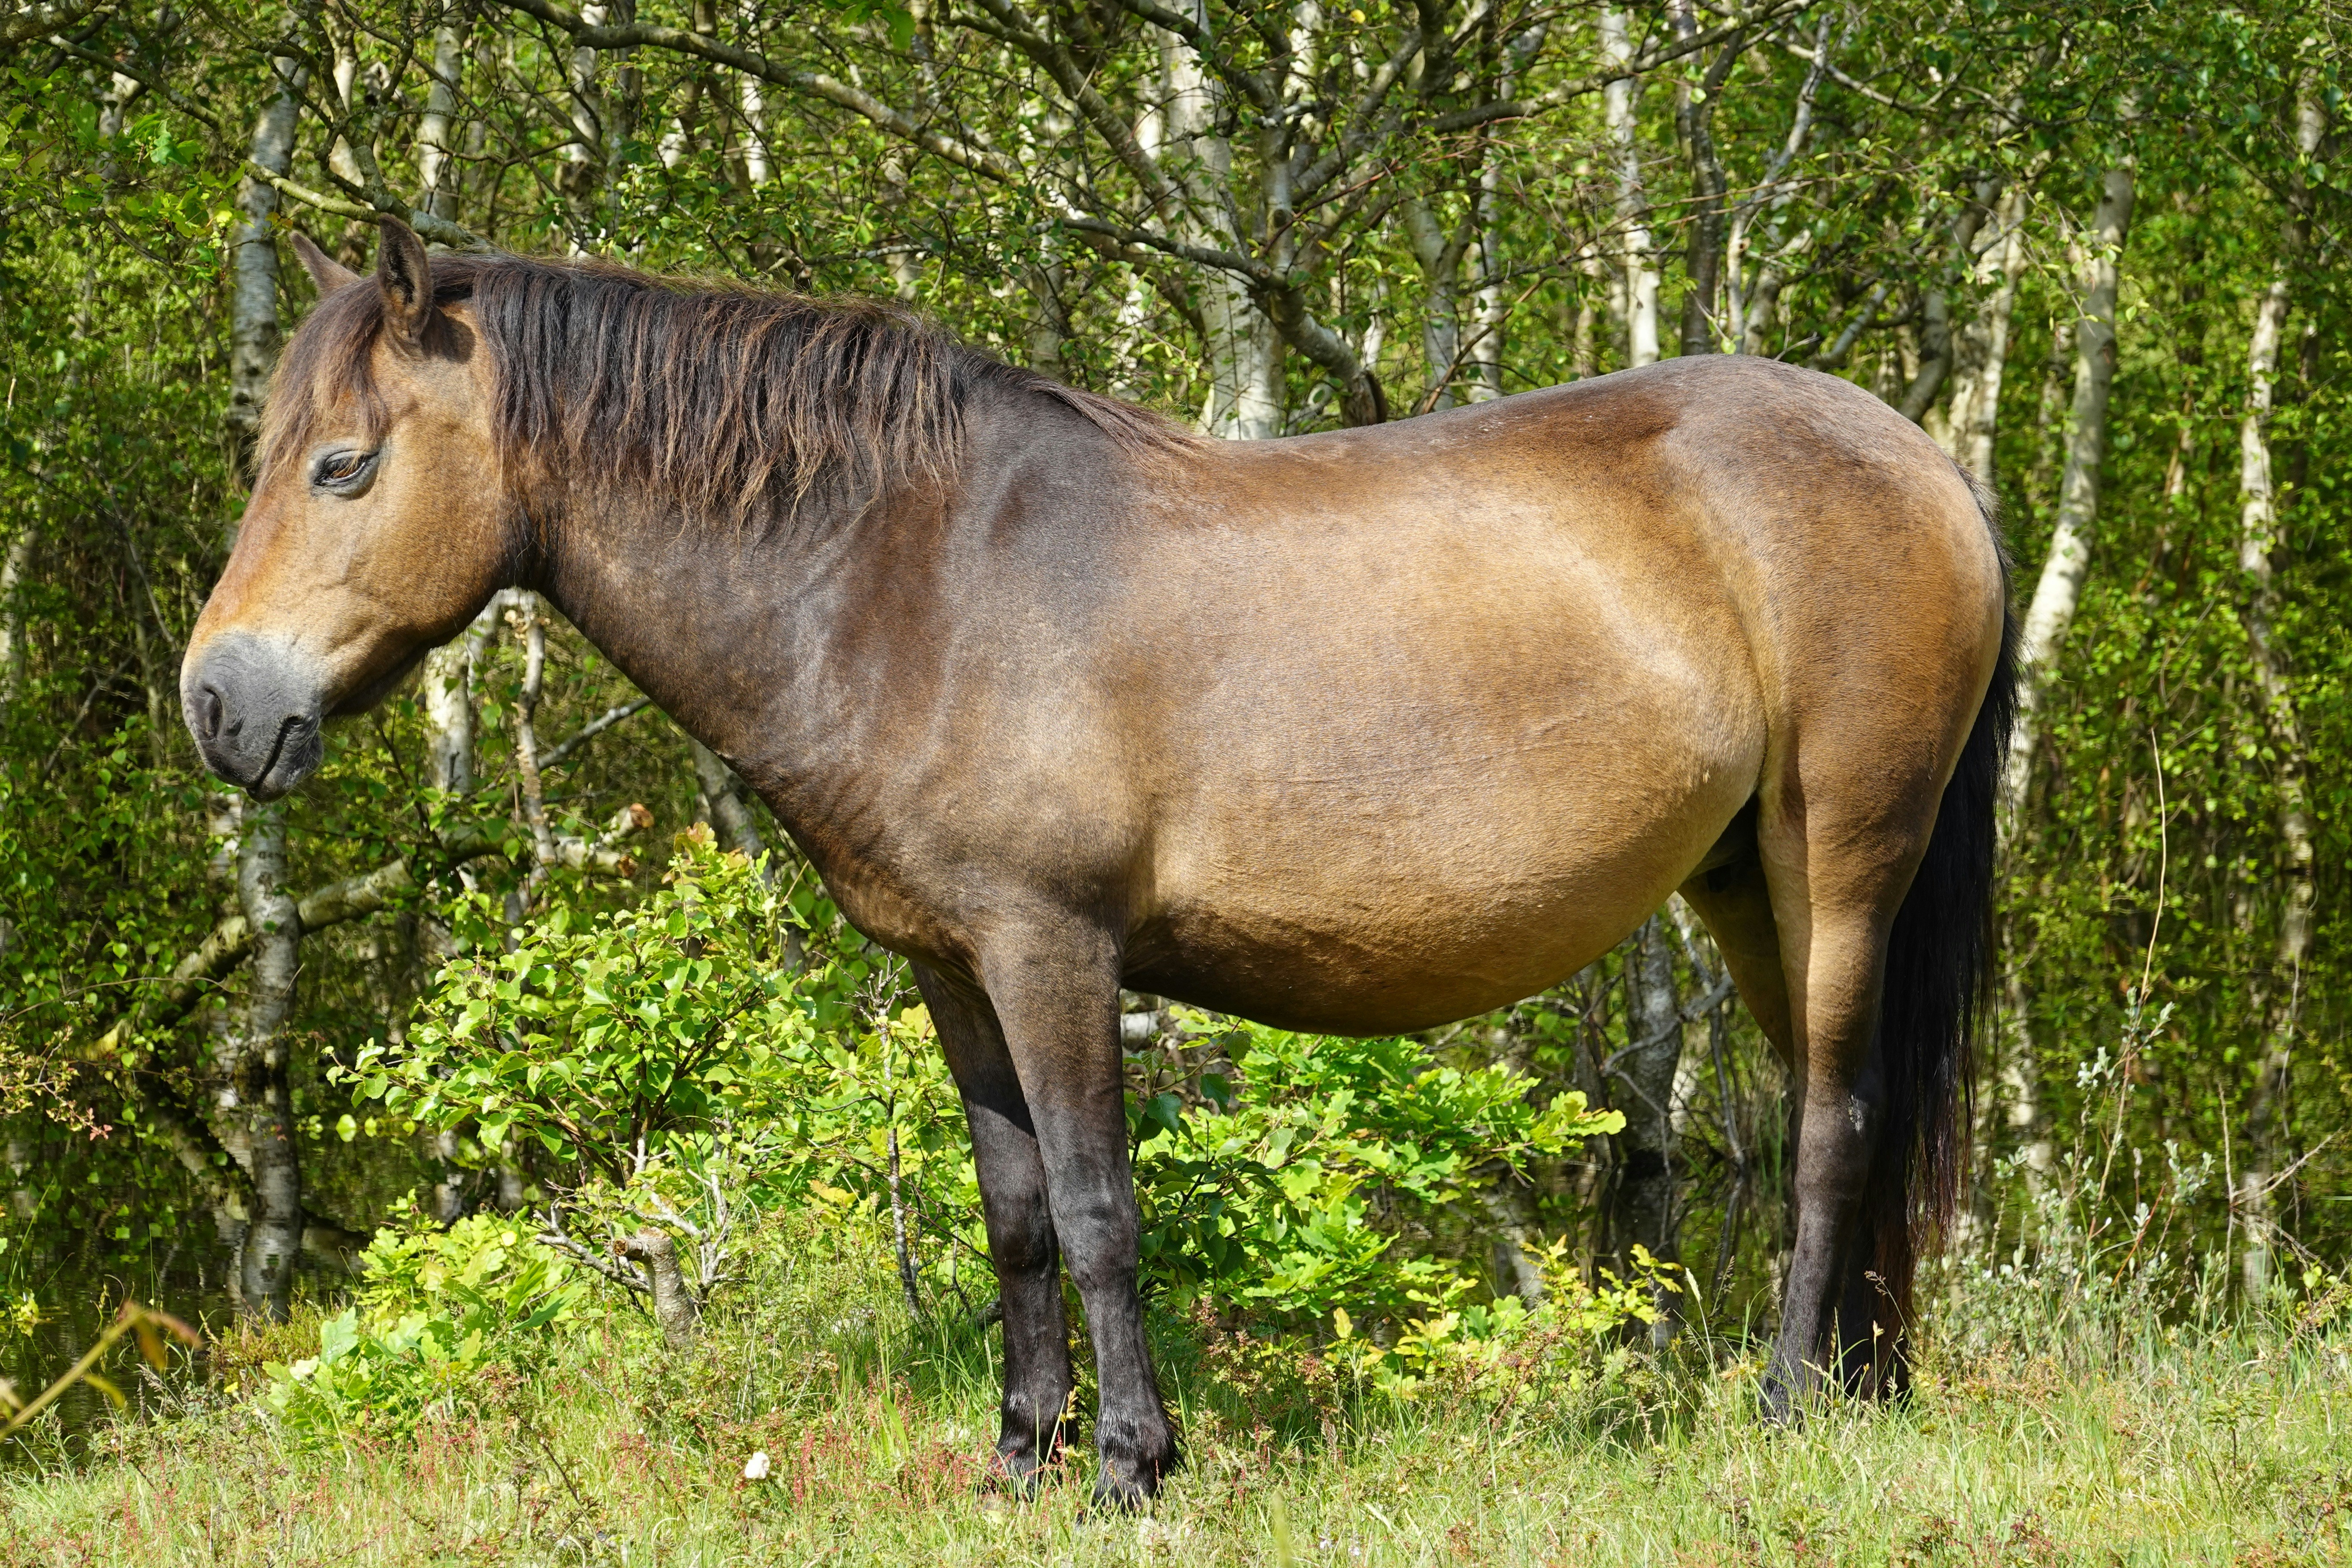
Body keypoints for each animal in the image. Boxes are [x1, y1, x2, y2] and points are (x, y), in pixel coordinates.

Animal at [183, 217, 2013, 1506]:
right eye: (268, 455)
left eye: (345, 461)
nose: (219, 702)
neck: (906, 568)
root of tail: (1923, 459)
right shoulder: (952, 964)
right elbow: (1011, 1216)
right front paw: (1022, 1453)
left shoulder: (1051, 948)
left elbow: (1098, 1201)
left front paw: (1134, 1459)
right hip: (1745, 886)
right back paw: (1869, 1386)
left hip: (1842, 860)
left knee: (1835, 1125)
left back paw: (1787, 1400)